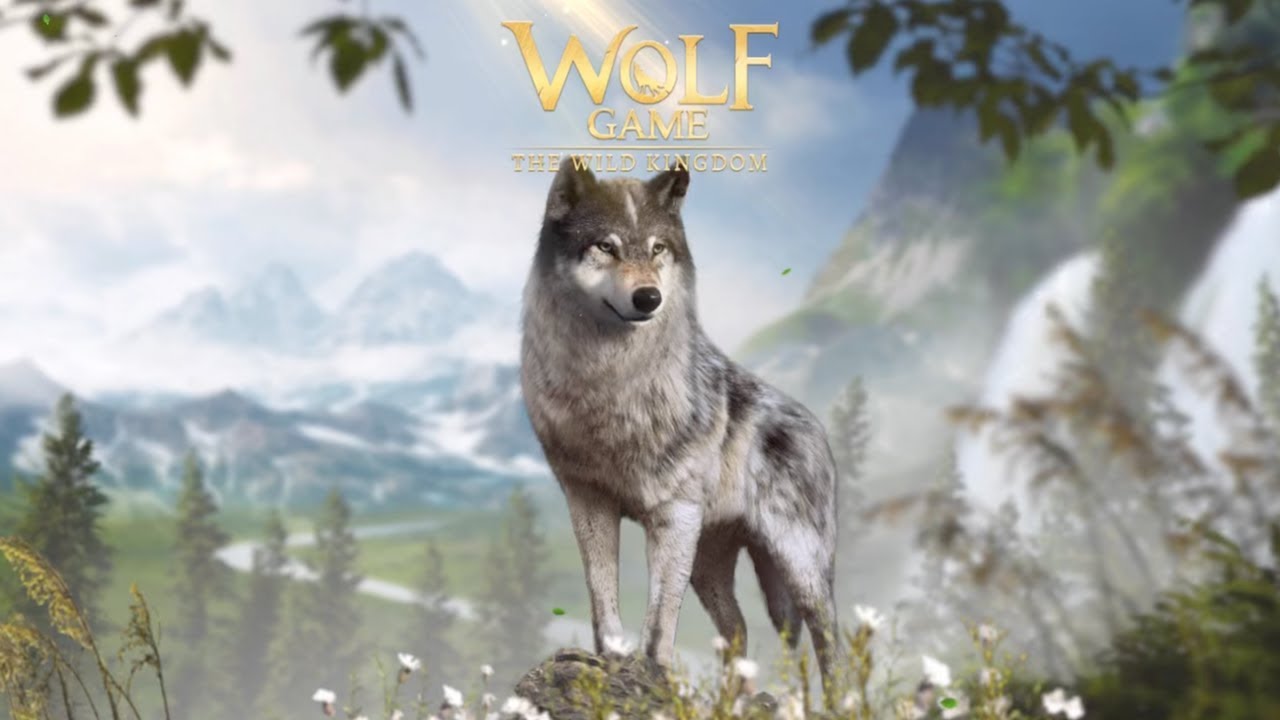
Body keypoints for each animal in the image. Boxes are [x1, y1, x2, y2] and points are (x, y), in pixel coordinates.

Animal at [520, 162, 840, 689]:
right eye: (605, 246)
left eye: (657, 249)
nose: (648, 297)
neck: (611, 389)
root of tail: (817, 427)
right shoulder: (589, 503)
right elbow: (603, 600)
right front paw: (611, 662)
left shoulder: (673, 517)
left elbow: (658, 622)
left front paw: (652, 676)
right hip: (709, 566)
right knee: (739, 629)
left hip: (800, 569)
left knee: (829, 646)